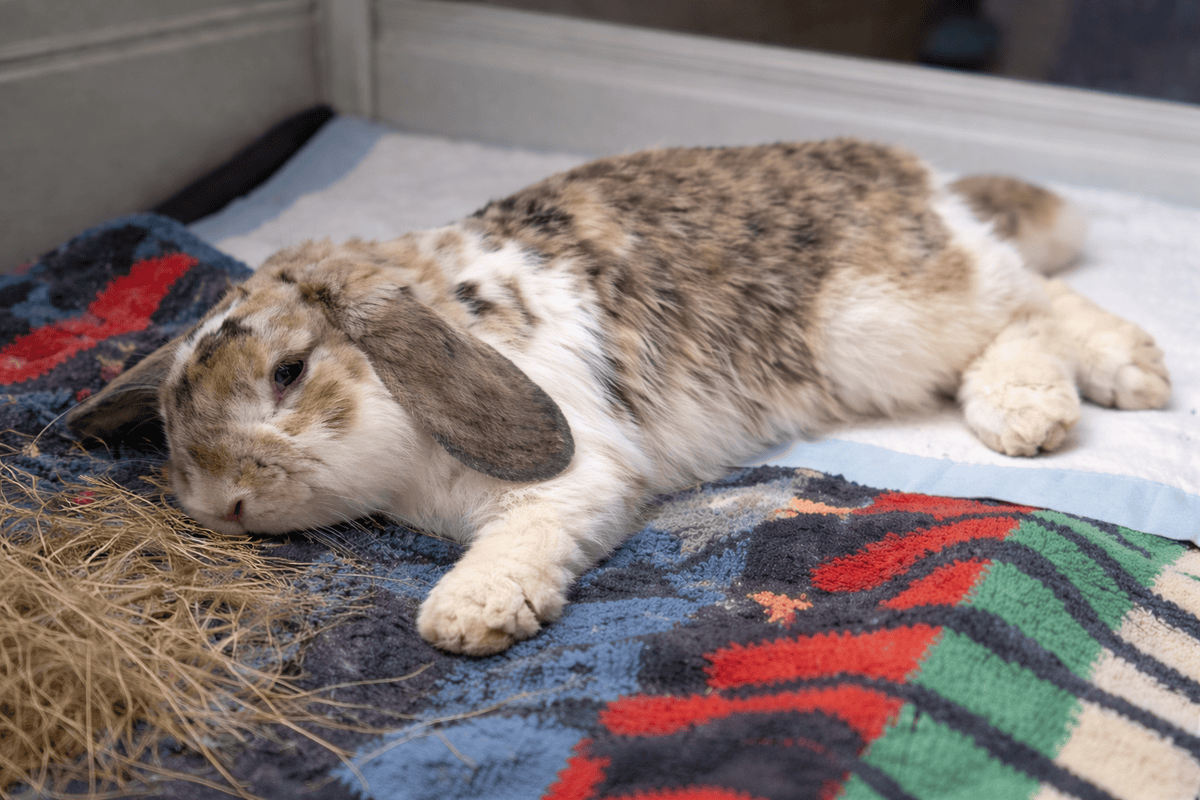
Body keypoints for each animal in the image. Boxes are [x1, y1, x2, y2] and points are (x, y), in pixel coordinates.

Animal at [67, 138, 1171, 655]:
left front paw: (468, 614)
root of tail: (919, 178)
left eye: (290, 373)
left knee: (1027, 306)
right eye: (171, 419)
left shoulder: (574, 474)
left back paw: (1065, 398)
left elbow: (521, 538)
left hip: (882, 324)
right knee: (1027, 296)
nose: (222, 504)